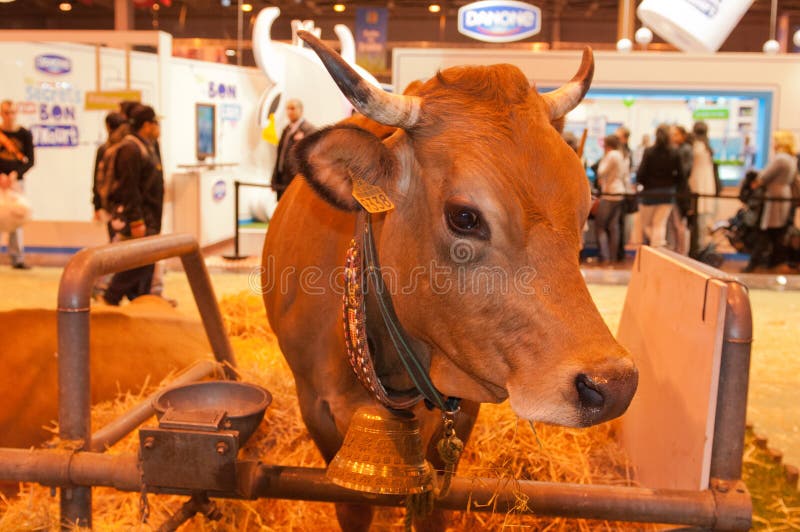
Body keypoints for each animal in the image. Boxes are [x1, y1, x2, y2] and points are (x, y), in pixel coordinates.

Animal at [262, 31, 638, 531]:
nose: (614, 385)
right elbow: (352, 504)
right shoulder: (315, 409)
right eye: (464, 217)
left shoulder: (463, 408)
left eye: (585, 207)